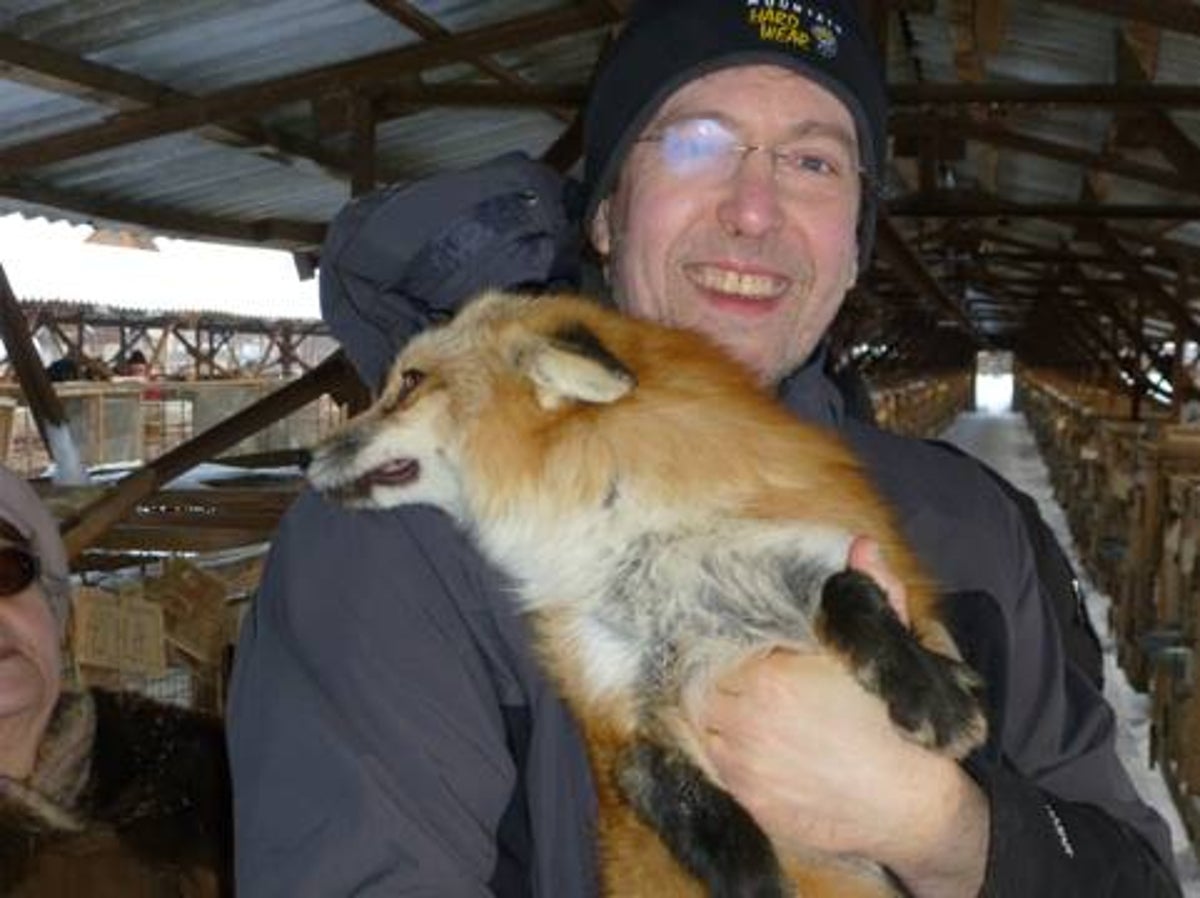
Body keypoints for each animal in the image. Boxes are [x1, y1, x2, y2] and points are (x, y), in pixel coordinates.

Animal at [305, 289, 987, 897]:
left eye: (409, 383)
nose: (305, 458)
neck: (633, 544)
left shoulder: (828, 553)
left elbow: (850, 588)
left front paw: (933, 696)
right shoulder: (614, 690)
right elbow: (651, 776)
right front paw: (755, 880)